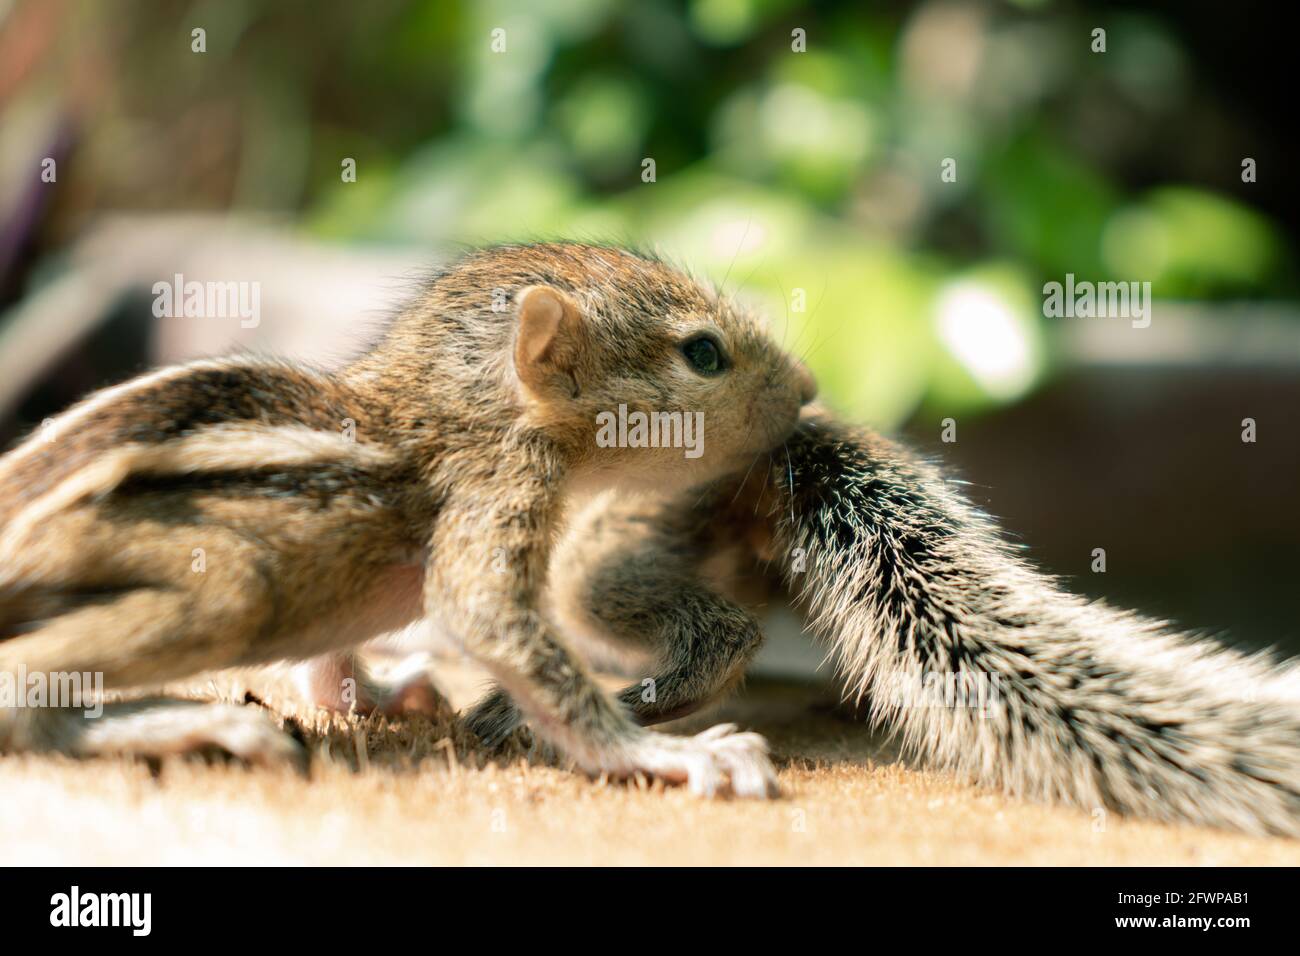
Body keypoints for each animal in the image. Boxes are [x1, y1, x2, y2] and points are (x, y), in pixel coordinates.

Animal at [0, 242, 816, 795]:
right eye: (703, 353)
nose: (808, 386)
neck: (460, 399)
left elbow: (327, 669)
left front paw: (388, 693)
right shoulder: (498, 485)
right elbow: (487, 616)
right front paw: (671, 755)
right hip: (228, 584)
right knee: (21, 698)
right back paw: (200, 724)